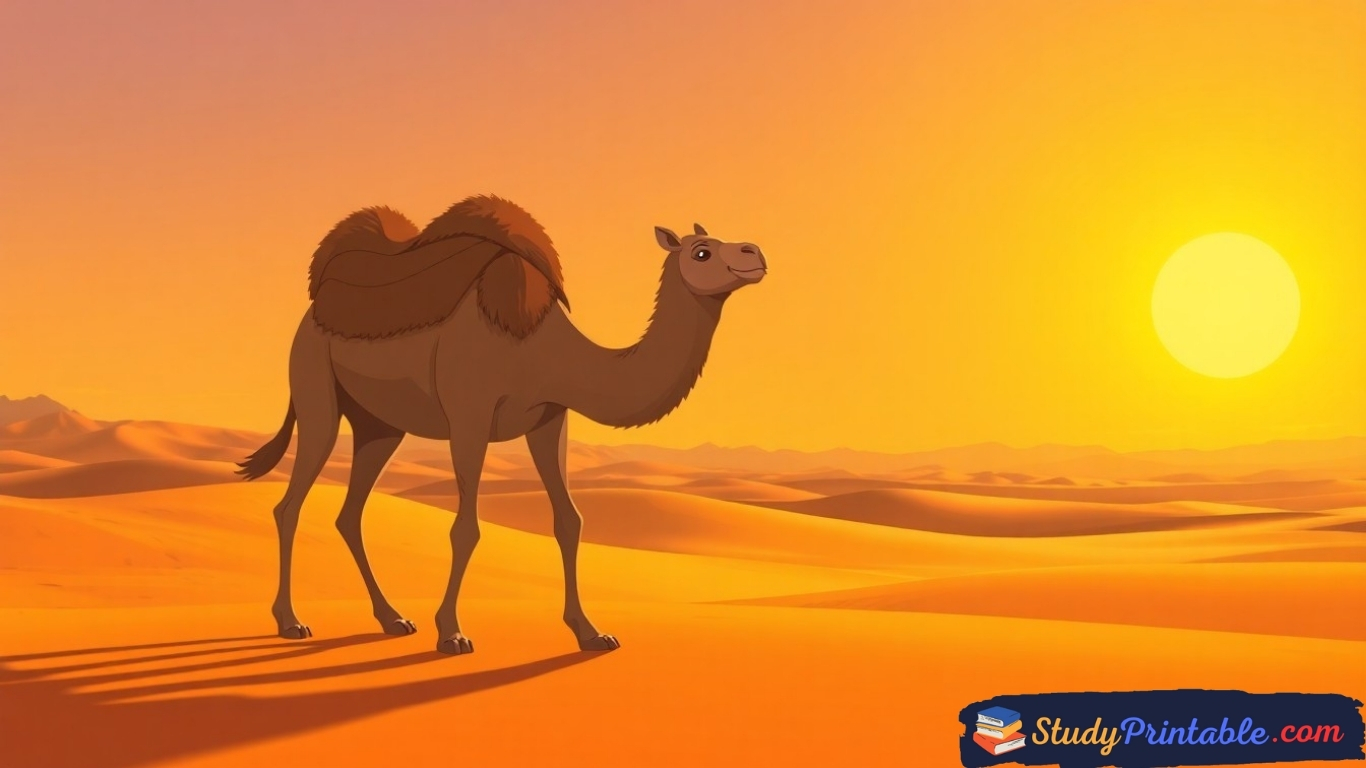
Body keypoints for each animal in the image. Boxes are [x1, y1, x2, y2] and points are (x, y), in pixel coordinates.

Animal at [238, 195, 767, 654]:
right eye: (701, 250)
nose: (755, 253)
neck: (543, 345)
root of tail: (312, 312)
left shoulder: (550, 419)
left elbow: (570, 521)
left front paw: (591, 632)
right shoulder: (469, 413)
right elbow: (466, 529)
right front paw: (451, 633)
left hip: (379, 426)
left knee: (350, 513)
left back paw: (392, 618)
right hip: (314, 386)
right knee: (290, 504)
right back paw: (291, 621)